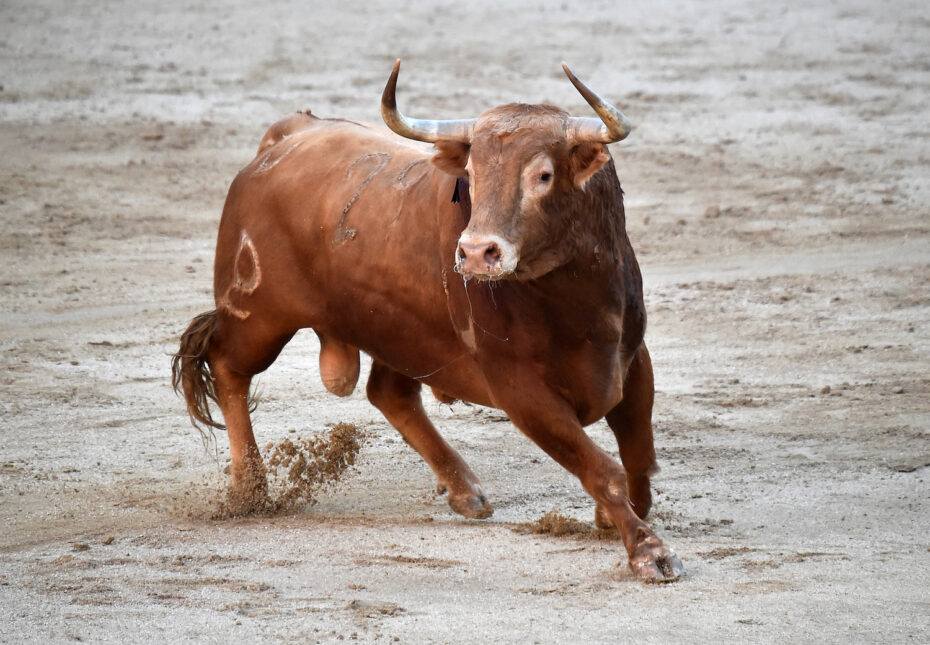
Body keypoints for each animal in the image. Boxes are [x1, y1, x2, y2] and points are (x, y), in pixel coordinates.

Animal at [172, 60, 683, 582]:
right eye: (471, 174)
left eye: (543, 174)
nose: (477, 253)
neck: (577, 304)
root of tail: (285, 137)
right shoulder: (522, 392)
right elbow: (603, 470)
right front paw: (649, 551)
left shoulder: (632, 361)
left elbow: (638, 458)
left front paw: (615, 519)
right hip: (259, 316)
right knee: (226, 365)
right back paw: (249, 488)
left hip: (400, 331)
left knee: (388, 392)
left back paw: (464, 490)